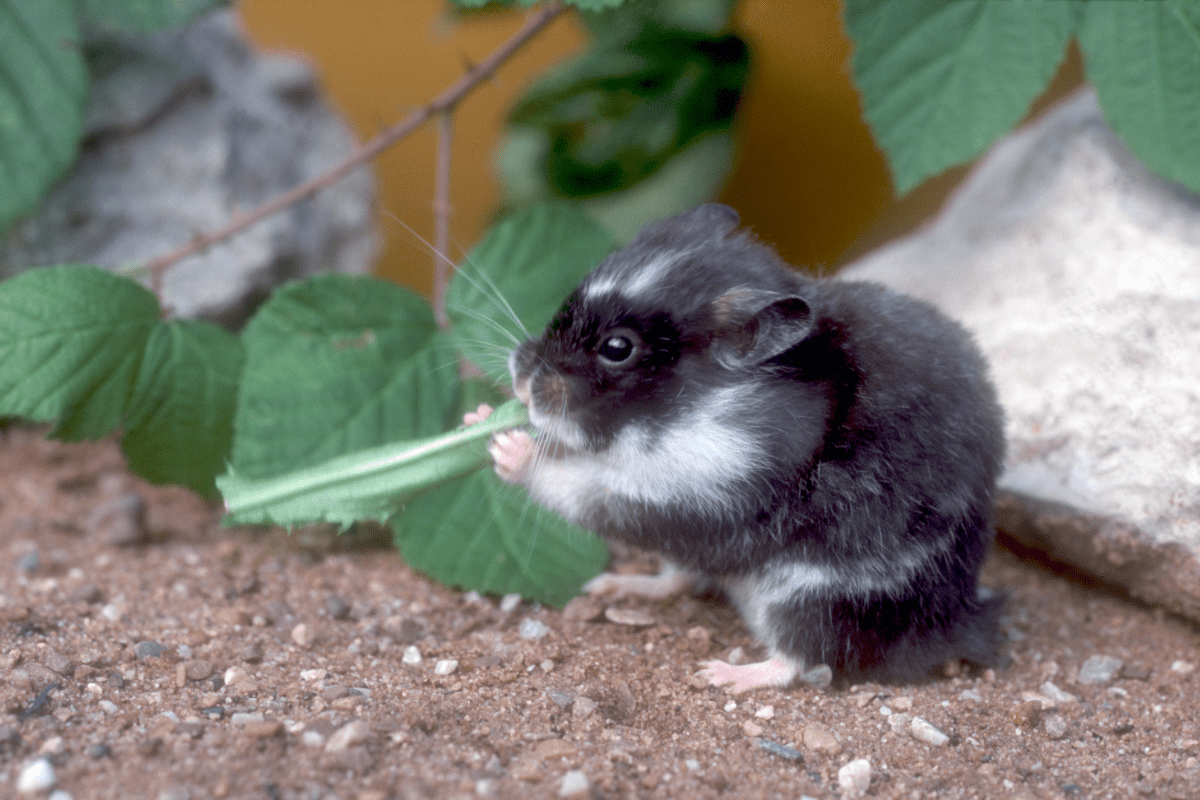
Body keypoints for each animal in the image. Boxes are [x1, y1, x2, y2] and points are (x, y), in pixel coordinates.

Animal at [476, 203, 1006, 692]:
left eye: (617, 348)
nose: (521, 378)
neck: (680, 414)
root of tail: (956, 627)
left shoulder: (696, 498)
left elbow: (583, 488)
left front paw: (508, 449)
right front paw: (479, 419)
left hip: (809, 599)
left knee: (801, 660)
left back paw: (720, 674)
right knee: (679, 578)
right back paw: (612, 587)